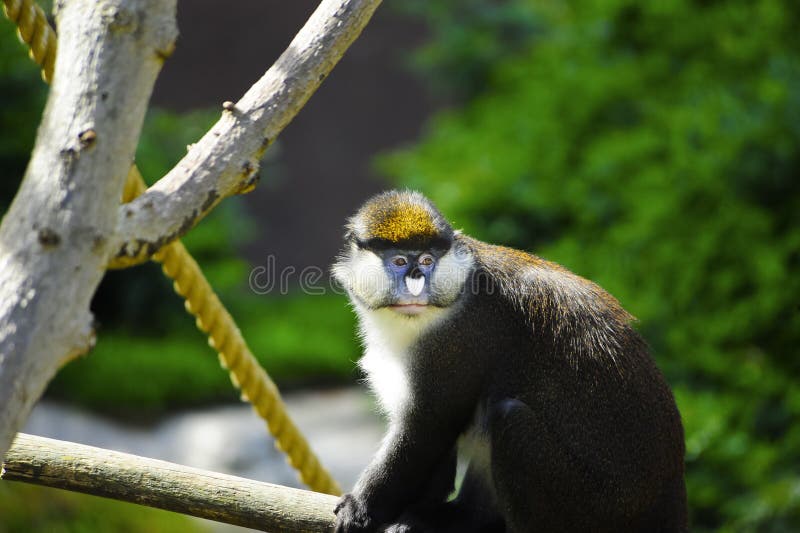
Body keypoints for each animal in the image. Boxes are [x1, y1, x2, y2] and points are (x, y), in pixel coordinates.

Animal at [331, 190, 687, 533]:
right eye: (400, 261)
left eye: (427, 260)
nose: (416, 282)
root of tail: (669, 497)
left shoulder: (459, 342)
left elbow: (427, 427)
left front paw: (361, 508)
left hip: (593, 507)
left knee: (509, 419)